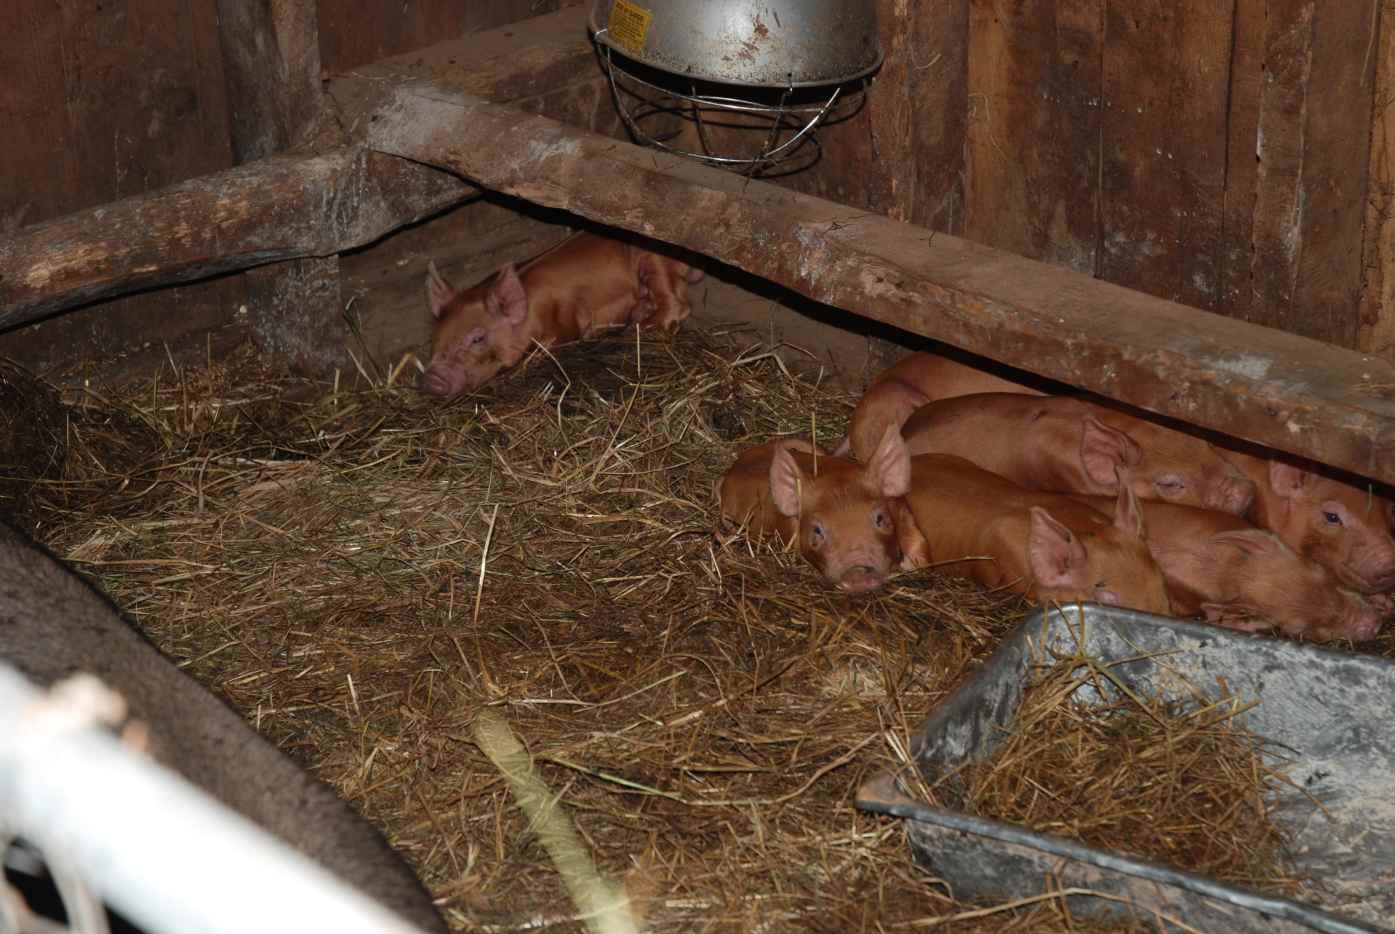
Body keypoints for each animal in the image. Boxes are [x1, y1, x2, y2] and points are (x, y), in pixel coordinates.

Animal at [421, 231, 704, 398]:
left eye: (477, 338)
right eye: (435, 338)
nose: (431, 379)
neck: (533, 310)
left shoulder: (564, 325)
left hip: (654, 260)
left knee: (677, 304)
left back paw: (638, 328)